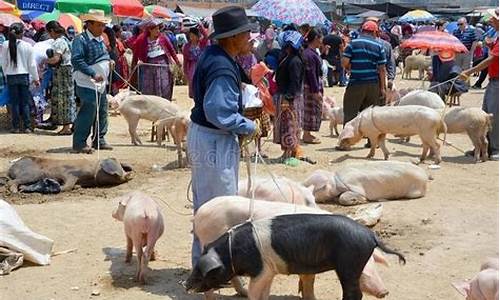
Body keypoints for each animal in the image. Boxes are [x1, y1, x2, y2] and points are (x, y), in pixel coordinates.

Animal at [195, 196, 394, 298]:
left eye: (375, 266)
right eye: (364, 271)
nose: (385, 291)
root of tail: (199, 213)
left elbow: (308, 280)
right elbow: (308, 280)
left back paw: (242, 292)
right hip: (211, 238)